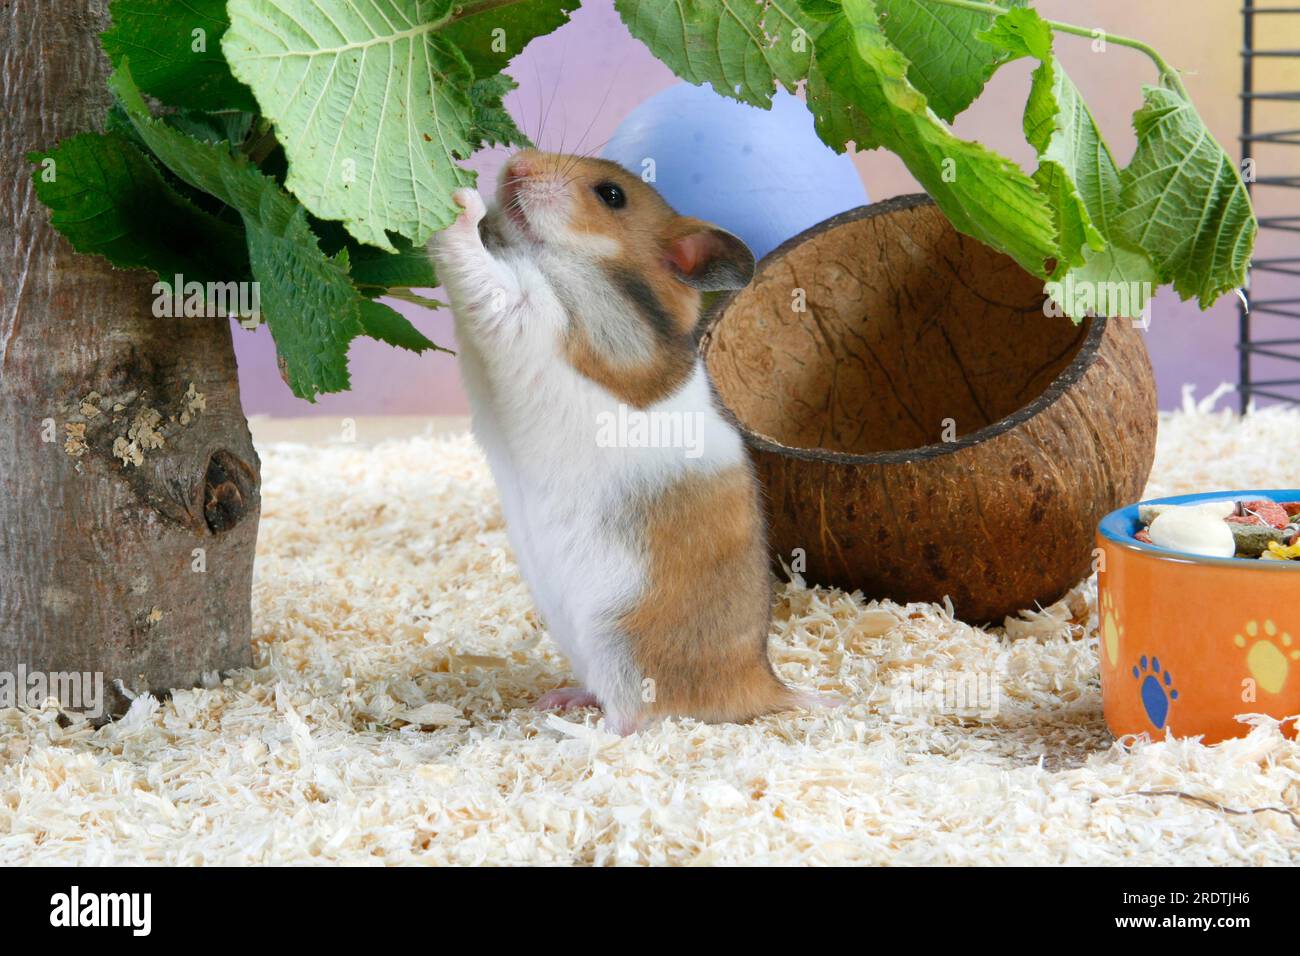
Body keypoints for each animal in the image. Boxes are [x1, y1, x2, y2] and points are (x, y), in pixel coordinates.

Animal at [431, 150, 818, 734]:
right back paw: (560, 701)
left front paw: (462, 200)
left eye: (611, 195)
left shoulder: (530, 312)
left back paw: (566, 731)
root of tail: (763, 685)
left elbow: (482, 270)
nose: (516, 163)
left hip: (623, 649)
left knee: (635, 718)